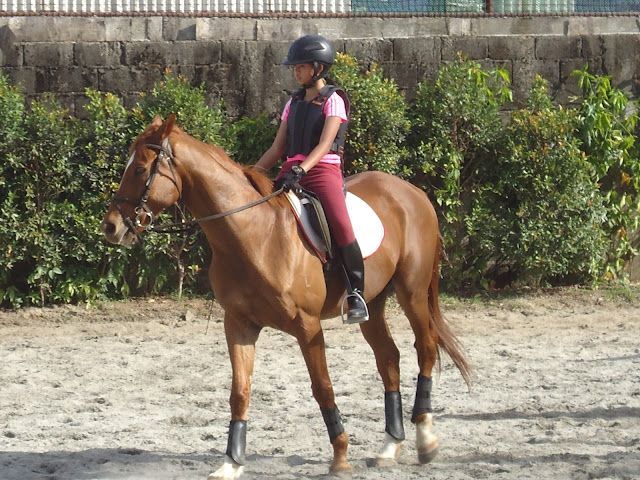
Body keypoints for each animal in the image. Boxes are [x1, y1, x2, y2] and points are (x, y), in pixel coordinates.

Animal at [100, 114, 470, 479]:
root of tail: (413, 192)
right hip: (373, 304)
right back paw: (390, 446)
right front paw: (231, 463)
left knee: (425, 348)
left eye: (140, 170)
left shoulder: (308, 327)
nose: (111, 228)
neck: (254, 234)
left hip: (412, 293)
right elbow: (240, 392)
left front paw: (340, 456)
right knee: (389, 359)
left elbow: (322, 387)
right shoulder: (239, 325)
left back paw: (425, 437)